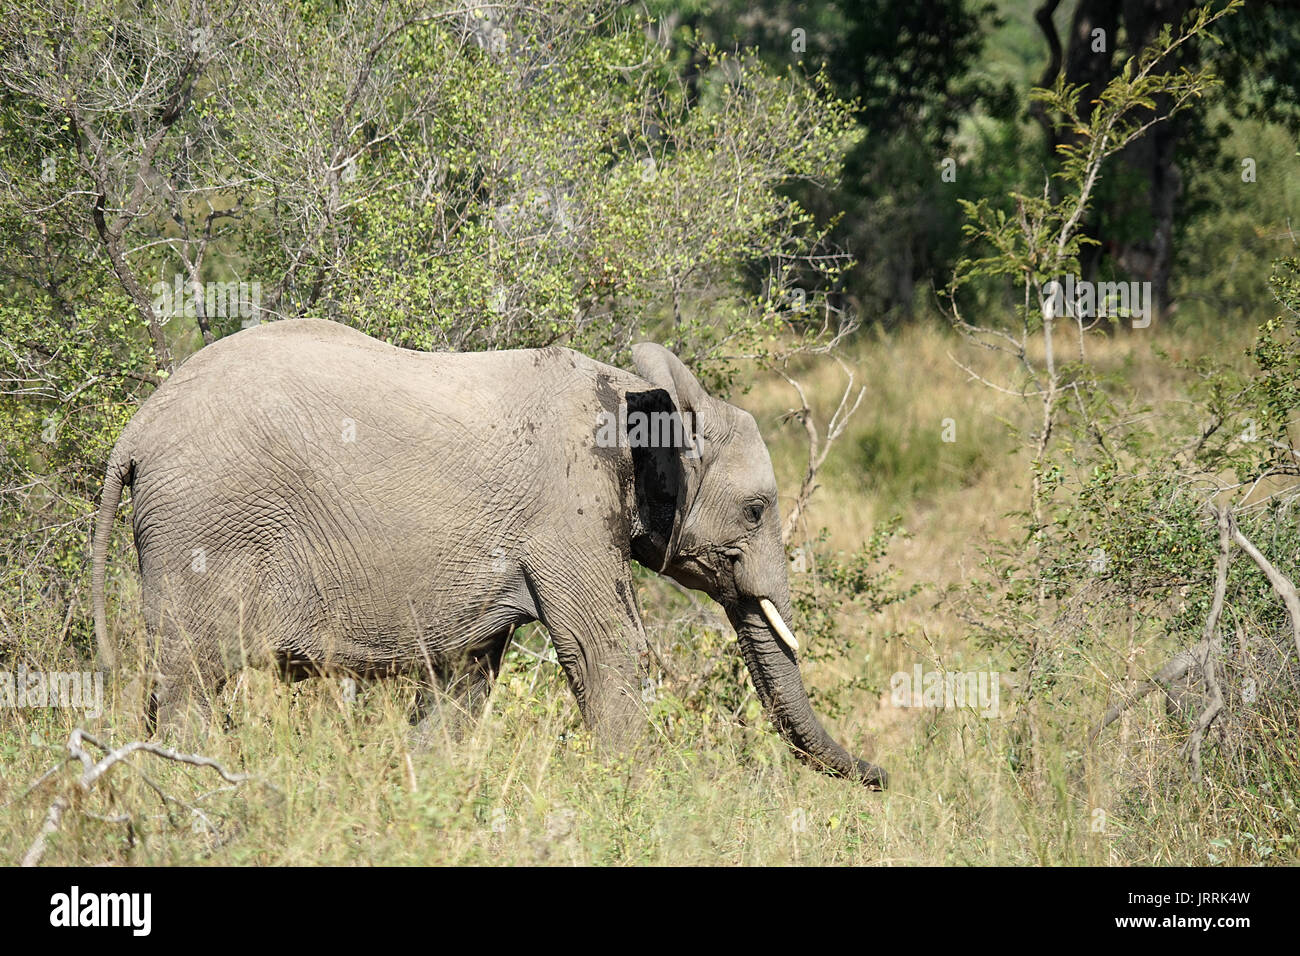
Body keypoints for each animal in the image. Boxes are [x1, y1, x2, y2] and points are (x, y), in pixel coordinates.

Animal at [90, 318, 886, 788]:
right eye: (756, 510)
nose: (886, 776)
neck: (640, 398)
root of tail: (135, 432)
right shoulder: (569, 507)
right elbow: (603, 647)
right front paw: (633, 800)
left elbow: (467, 676)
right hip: (204, 529)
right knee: (190, 683)